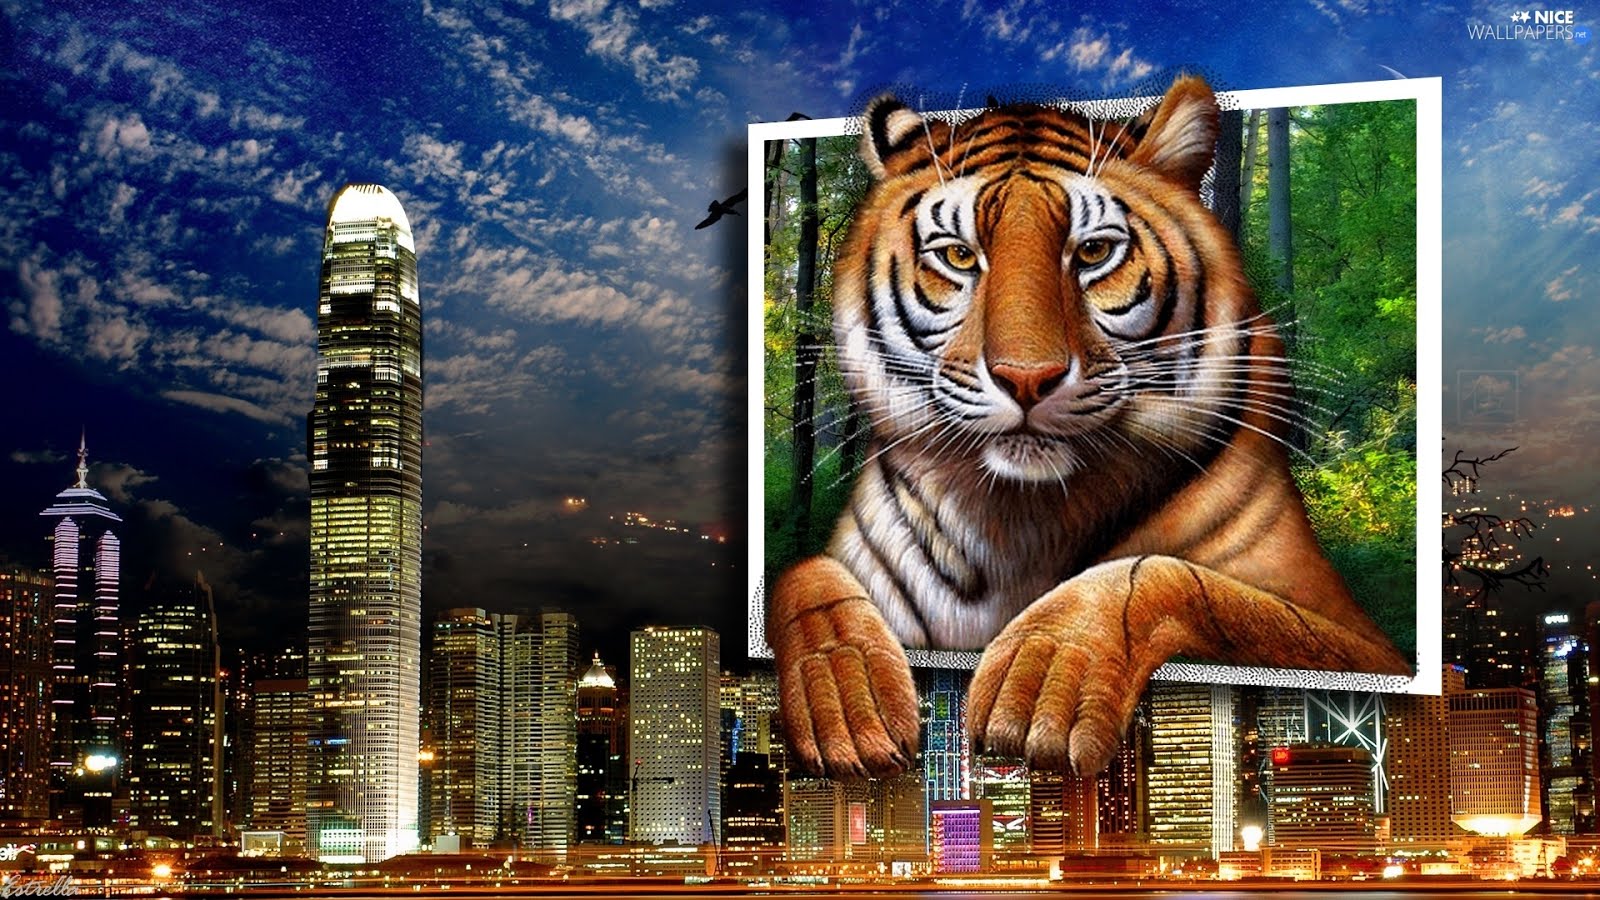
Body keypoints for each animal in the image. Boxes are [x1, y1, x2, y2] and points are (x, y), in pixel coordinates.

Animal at [767, 75, 1411, 780]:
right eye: (960, 255)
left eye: (1094, 251)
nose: (1026, 378)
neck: (1019, 515)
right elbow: (803, 576)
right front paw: (851, 701)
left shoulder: (1355, 637)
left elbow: (1168, 578)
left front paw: (1040, 677)